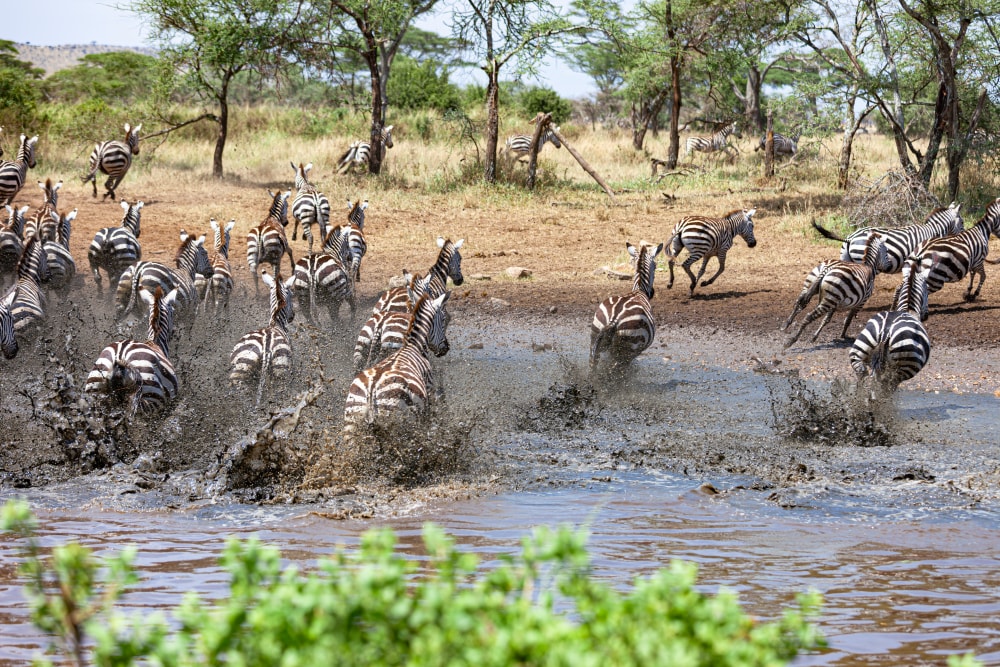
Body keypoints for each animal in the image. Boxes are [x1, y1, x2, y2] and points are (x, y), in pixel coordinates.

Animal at [85, 286, 179, 416]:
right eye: (173, 311)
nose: (175, 332)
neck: (154, 342)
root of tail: (120, 355)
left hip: (96, 392)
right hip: (149, 398)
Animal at [230, 270, 295, 405]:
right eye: (292, 294)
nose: (292, 316)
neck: (275, 323)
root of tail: (266, 348)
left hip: (241, 373)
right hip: (282, 375)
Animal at [353, 237, 464, 371]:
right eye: (460, 258)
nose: (460, 281)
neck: (438, 277)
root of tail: (380, 325)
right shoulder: (441, 307)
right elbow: (447, 318)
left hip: (362, 346)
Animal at [590, 241, 663, 379]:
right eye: (655, 266)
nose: (652, 293)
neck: (639, 290)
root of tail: (614, 318)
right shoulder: (633, 353)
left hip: (595, 338)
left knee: (594, 367)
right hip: (628, 347)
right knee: (613, 373)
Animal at [850, 253, 936, 396]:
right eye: (927, 291)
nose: (926, 316)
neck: (907, 309)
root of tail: (885, 333)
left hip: (858, 352)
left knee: (863, 376)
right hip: (901, 368)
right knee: (886, 389)